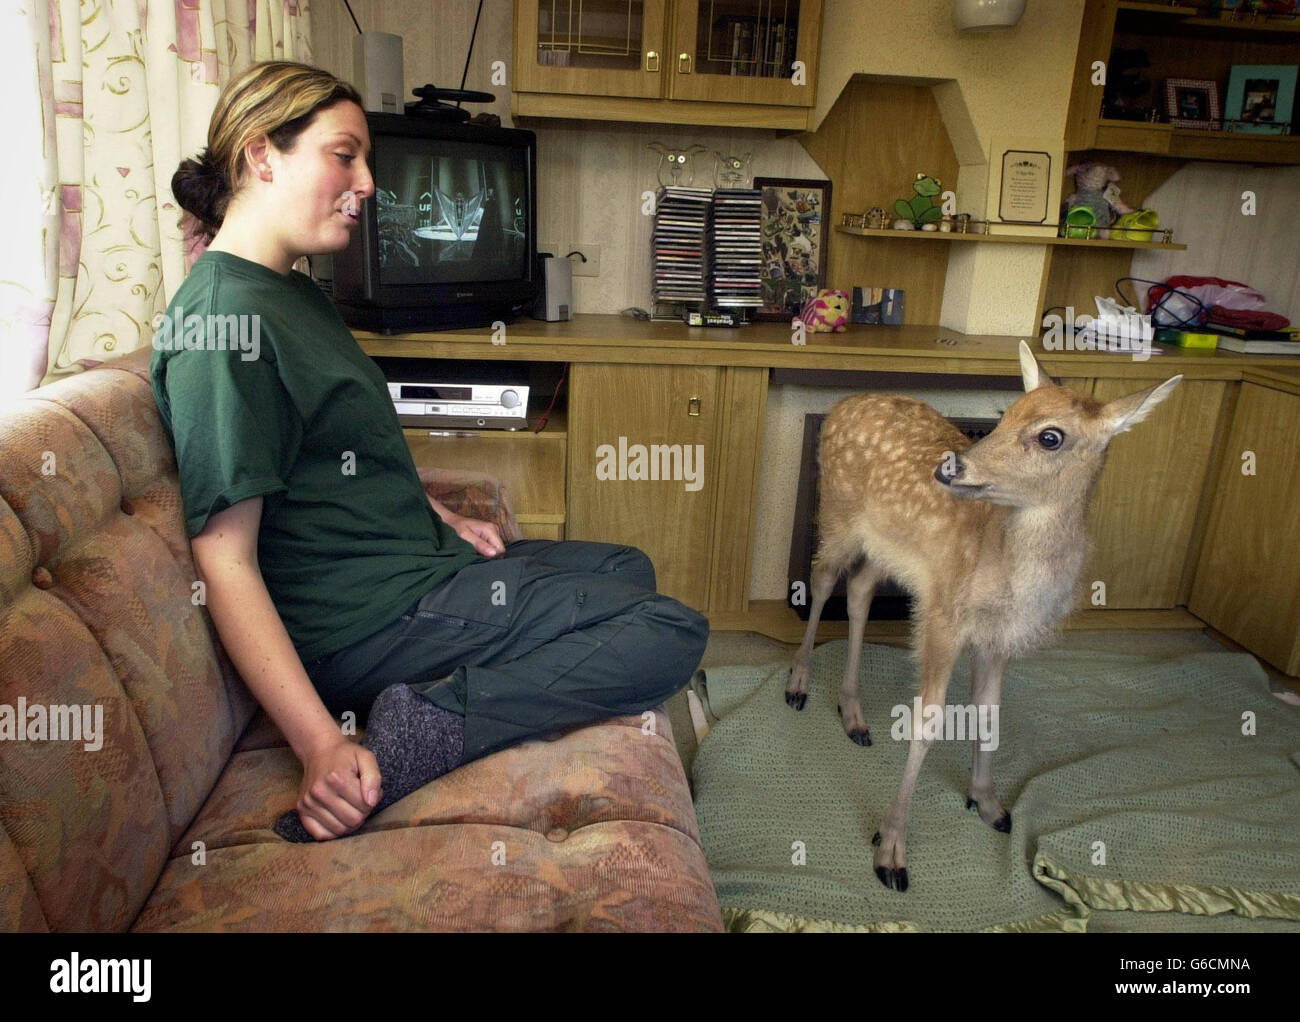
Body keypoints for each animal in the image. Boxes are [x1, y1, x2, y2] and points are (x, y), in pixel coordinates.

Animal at [785, 341, 1182, 892]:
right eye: (1005, 414)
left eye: (1050, 436)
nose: (952, 468)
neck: (1009, 573)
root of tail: (844, 403)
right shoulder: (945, 614)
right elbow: (929, 720)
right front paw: (891, 852)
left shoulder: (997, 638)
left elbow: (990, 711)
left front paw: (989, 802)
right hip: (838, 513)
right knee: (822, 583)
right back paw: (799, 685)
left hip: (888, 547)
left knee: (860, 589)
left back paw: (854, 715)